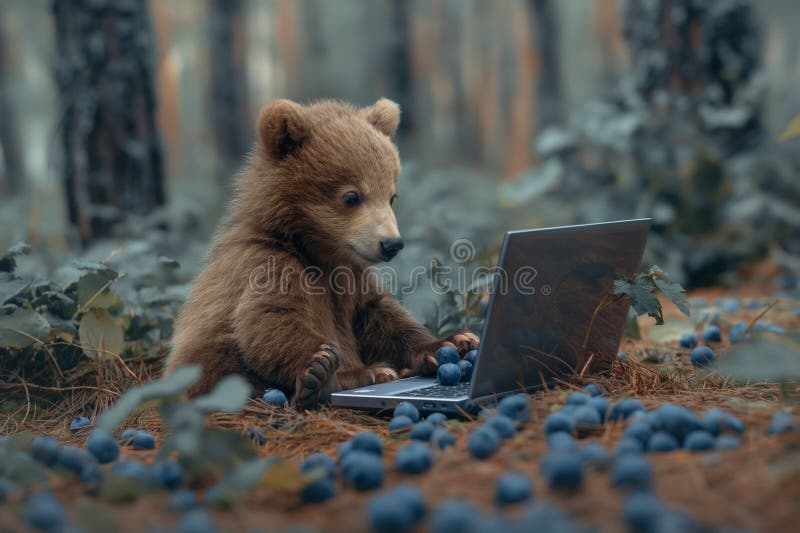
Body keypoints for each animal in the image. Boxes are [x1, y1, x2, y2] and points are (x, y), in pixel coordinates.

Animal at [165, 98, 479, 407]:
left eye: (391, 196)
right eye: (352, 196)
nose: (391, 244)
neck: (318, 249)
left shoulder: (353, 277)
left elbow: (381, 316)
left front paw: (453, 342)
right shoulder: (267, 262)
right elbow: (268, 318)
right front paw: (324, 368)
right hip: (207, 363)